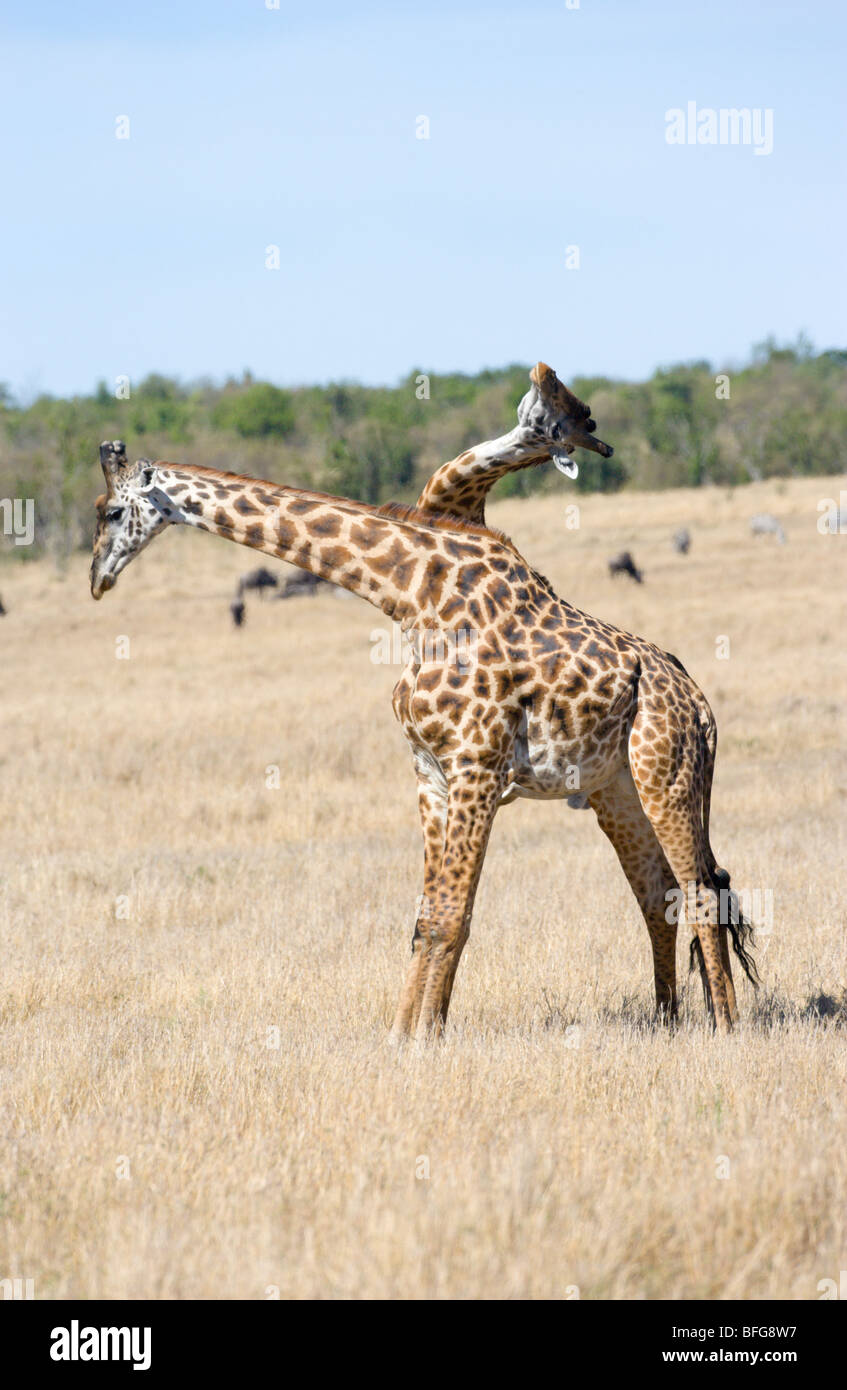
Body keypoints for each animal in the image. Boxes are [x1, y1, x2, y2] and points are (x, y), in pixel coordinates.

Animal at [89, 366, 756, 1038]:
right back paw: (669, 1018)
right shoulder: (430, 774)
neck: (412, 596)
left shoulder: (475, 768)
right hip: (615, 789)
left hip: (667, 775)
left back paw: (726, 1028)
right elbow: (429, 919)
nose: (97, 578)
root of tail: (700, 706)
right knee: (658, 892)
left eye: (112, 510)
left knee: (699, 890)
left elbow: (451, 915)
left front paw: (417, 1036)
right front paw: (409, 1033)